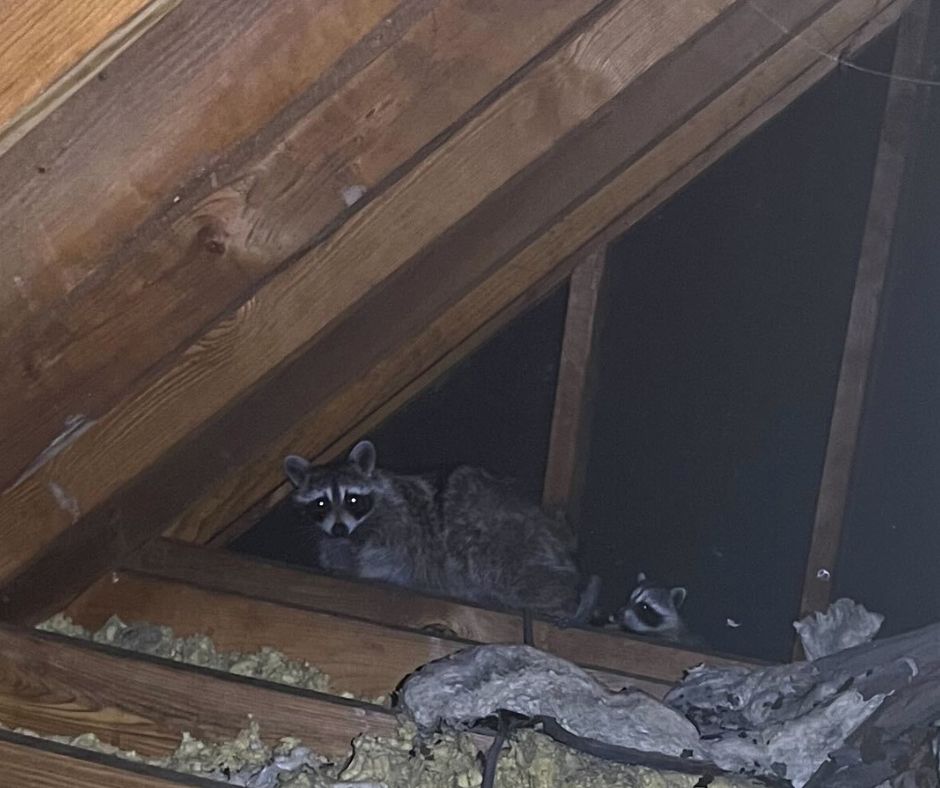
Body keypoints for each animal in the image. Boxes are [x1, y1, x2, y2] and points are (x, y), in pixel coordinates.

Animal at [283, 440, 598, 622]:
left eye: (352, 499)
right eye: (321, 503)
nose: (338, 528)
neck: (356, 532)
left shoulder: (400, 528)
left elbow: (393, 562)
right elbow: (336, 554)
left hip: (500, 533)